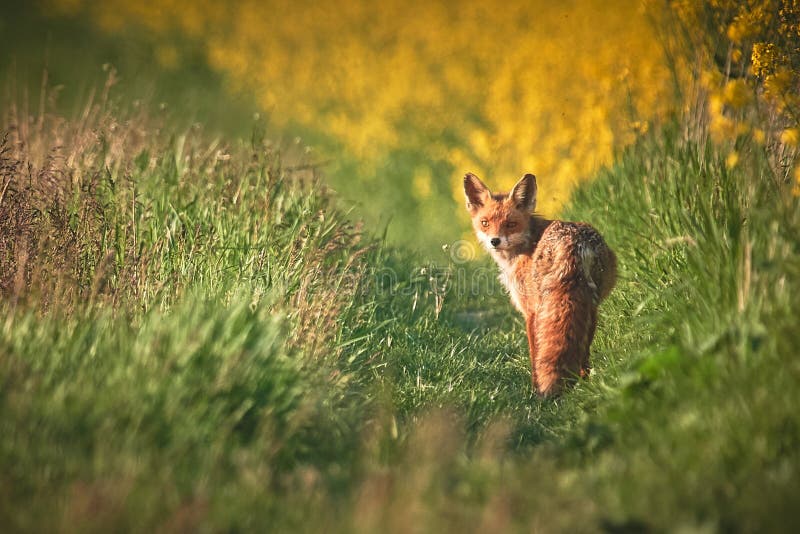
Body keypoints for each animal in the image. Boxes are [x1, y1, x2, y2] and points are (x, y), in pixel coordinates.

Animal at [464, 172, 617, 397]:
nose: (494, 241)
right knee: (584, 351)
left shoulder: (530, 311)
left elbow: (534, 351)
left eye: (510, 224)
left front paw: (534, 385)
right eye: (485, 223)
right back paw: (584, 382)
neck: (529, 242)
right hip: (591, 307)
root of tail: (573, 244)